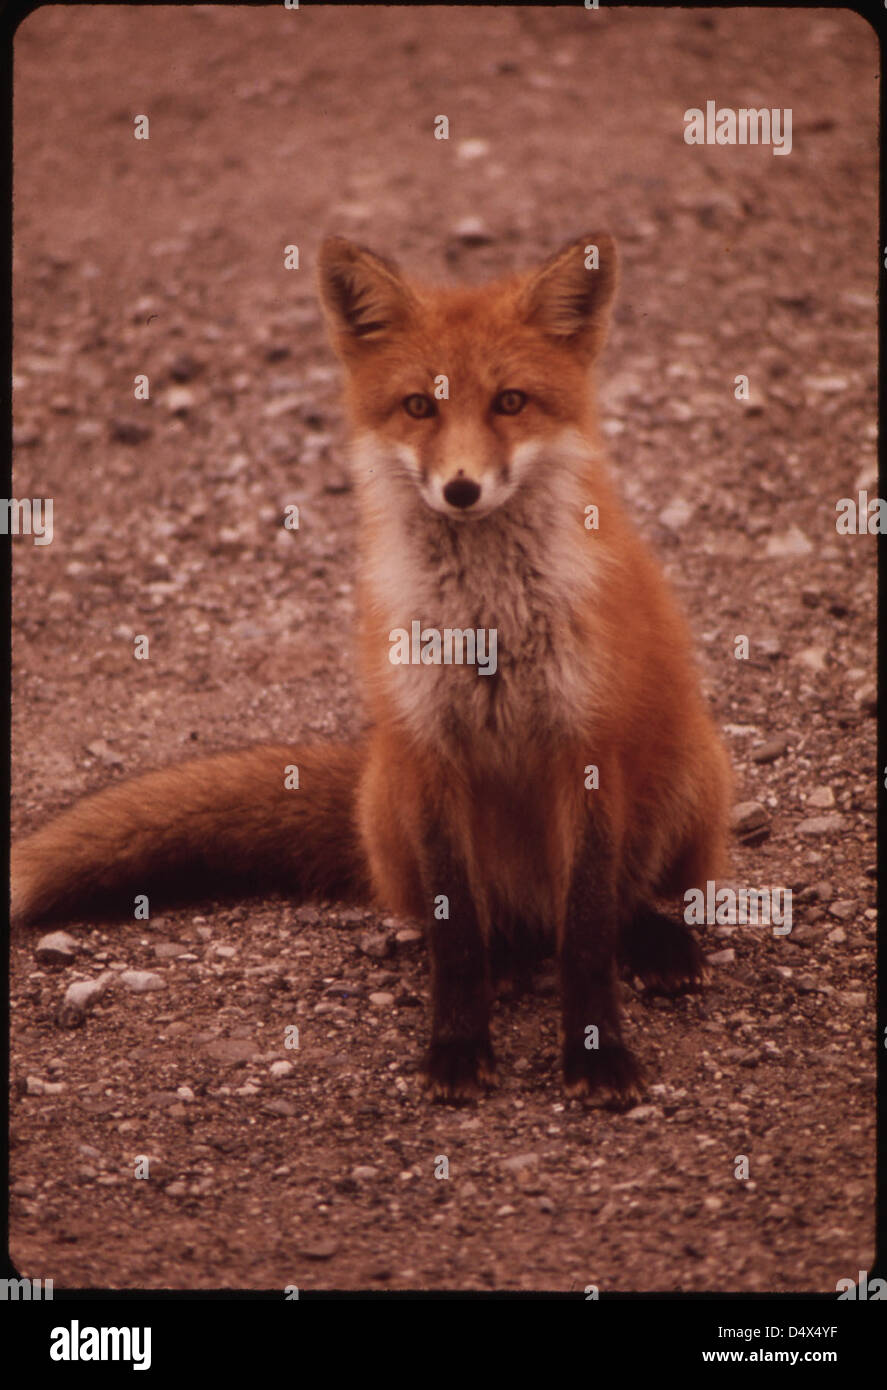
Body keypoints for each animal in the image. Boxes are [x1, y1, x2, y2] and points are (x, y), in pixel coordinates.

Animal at [11, 232, 732, 1106]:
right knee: (484, 927)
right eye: (419, 407)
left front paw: (595, 1052)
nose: (461, 488)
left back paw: (657, 944)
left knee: (623, 903)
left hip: (691, 775)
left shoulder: (586, 750)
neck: (487, 627)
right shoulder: (427, 750)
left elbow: (588, 930)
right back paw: (509, 960)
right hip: (390, 800)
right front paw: (457, 1045)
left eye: (511, 402)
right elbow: (456, 935)